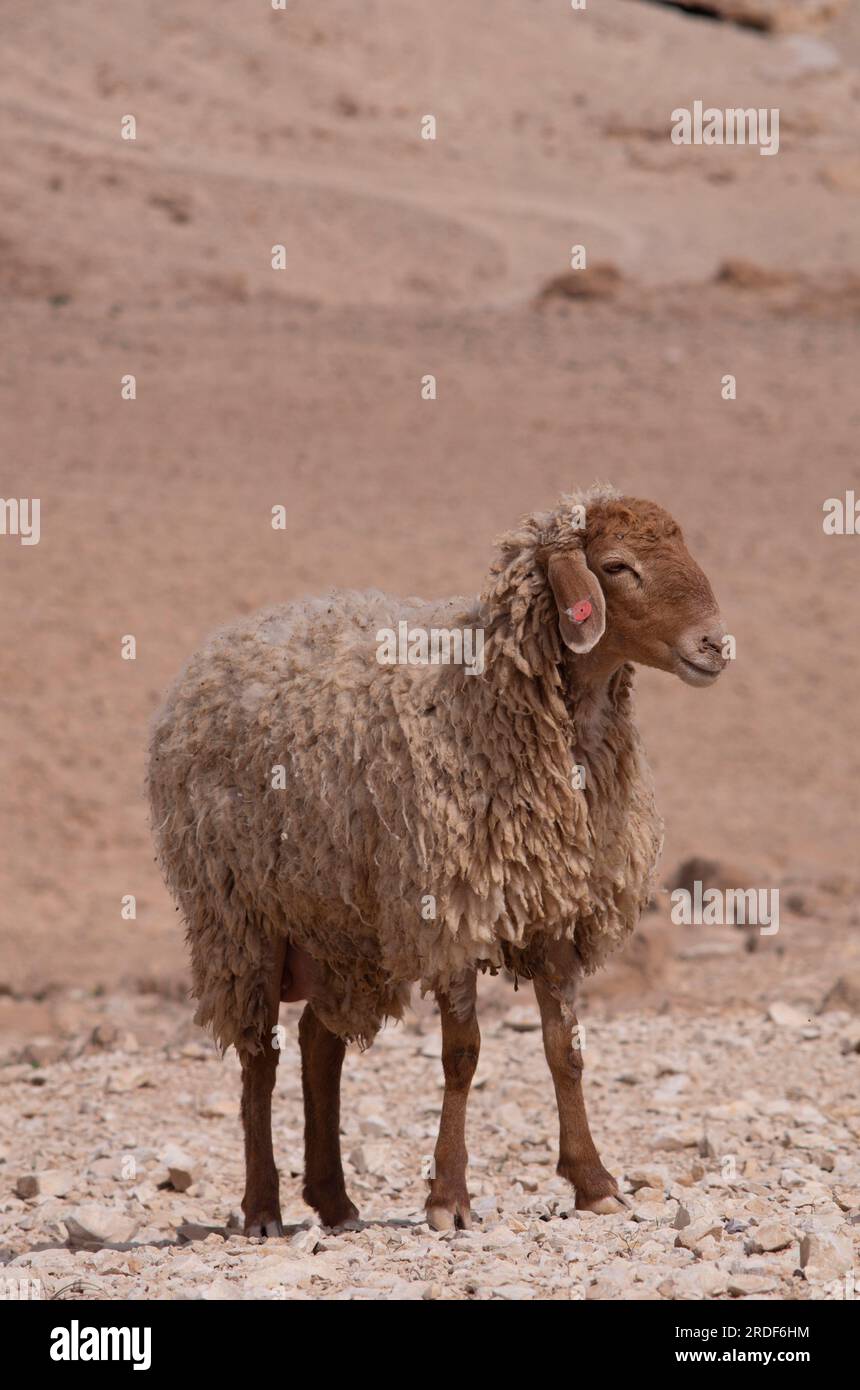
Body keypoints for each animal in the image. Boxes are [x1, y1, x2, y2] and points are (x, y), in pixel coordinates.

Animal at [147, 484, 727, 1235]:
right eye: (618, 566)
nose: (715, 645)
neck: (490, 694)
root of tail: (221, 644)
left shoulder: (553, 906)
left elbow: (565, 1050)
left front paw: (593, 1181)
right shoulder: (452, 906)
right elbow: (461, 1055)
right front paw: (449, 1196)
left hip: (340, 924)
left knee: (317, 1044)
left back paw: (333, 1199)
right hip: (241, 917)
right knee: (259, 1056)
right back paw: (263, 1208)